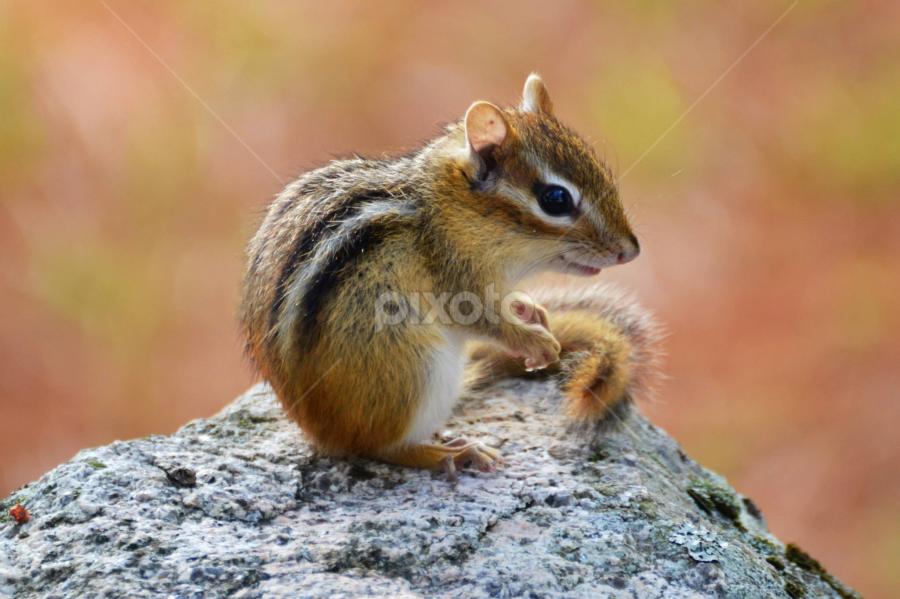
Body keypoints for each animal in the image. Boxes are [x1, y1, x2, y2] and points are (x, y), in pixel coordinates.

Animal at [240, 74, 650, 475]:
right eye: (556, 199)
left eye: (602, 171)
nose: (630, 250)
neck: (455, 209)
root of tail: (322, 433)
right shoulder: (455, 277)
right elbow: (482, 319)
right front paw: (536, 341)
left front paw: (532, 311)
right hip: (414, 368)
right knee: (376, 447)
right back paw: (450, 454)